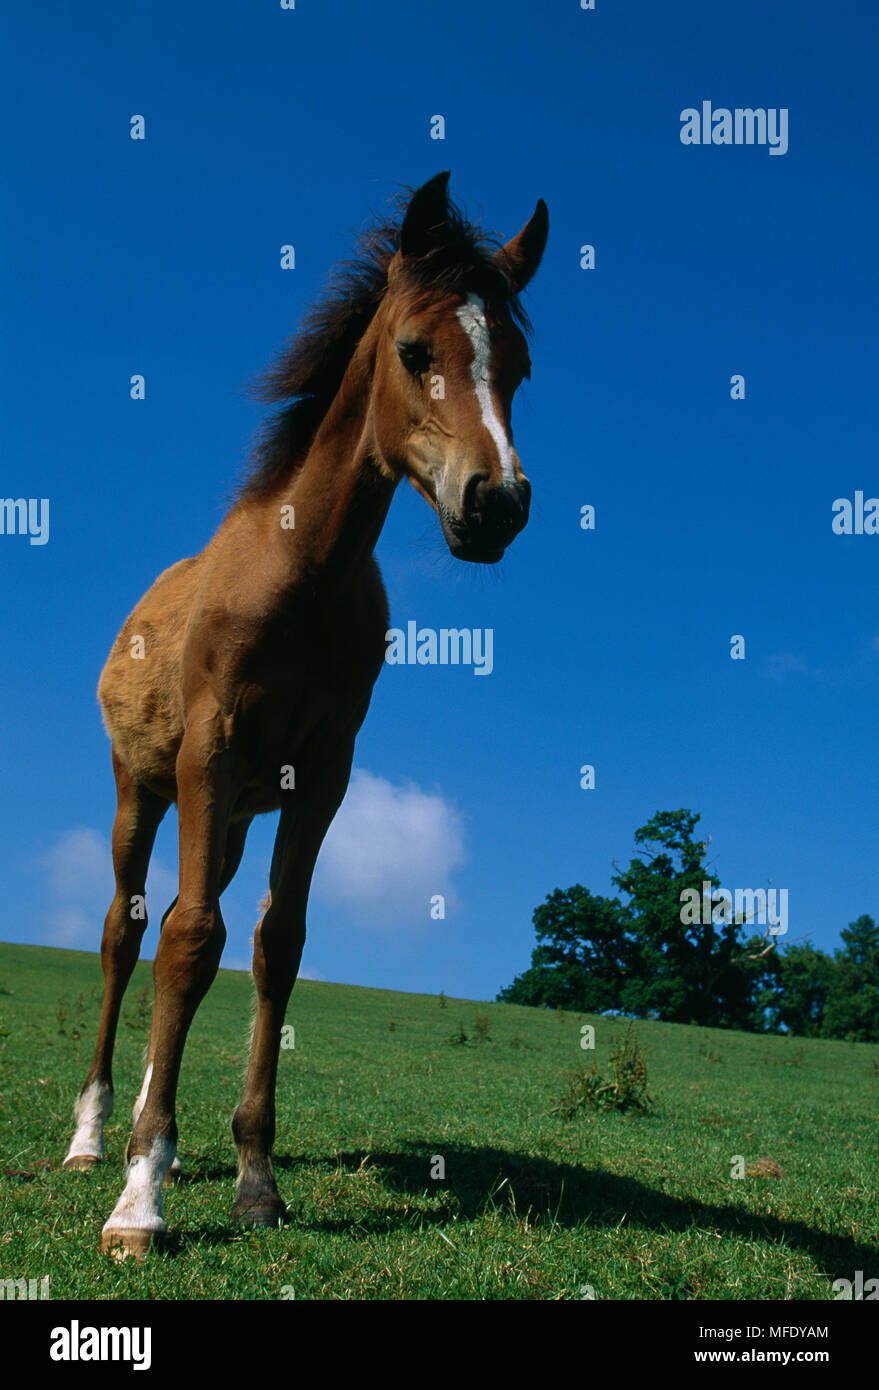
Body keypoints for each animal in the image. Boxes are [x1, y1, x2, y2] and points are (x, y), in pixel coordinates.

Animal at [62, 171, 548, 1258]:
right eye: (414, 350)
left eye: (521, 368)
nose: (496, 502)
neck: (302, 571)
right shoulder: (208, 754)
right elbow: (189, 940)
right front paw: (137, 1203)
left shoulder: (320, 775)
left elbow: (272, 947)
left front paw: (254, 1178)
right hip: (142, 791)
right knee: (128, 932)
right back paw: (95, 1136)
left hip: (237, 814)